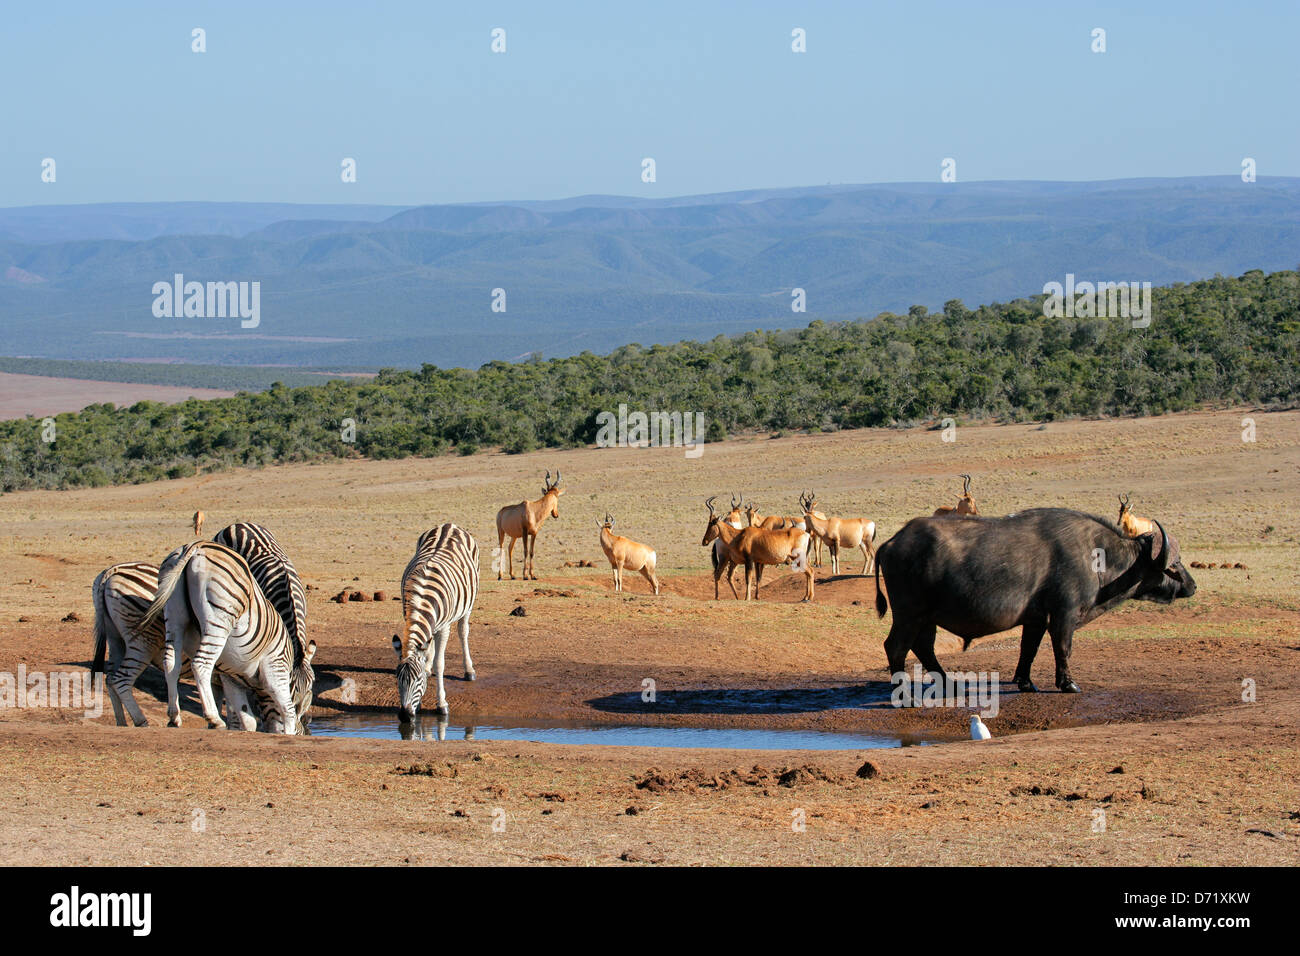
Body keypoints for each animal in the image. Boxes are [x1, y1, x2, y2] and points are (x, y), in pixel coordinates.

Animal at [141, 541, 300, 734]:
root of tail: (196, 545)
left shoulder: (231, 677)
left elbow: (248, 718)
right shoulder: (275, 667)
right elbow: (288, 710)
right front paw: (290, 733)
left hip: (173, 616)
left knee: (171, 662)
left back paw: (174, 716)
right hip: (218, 620)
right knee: (200, 664)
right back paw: (214, 719)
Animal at [391, 523, 478, 721]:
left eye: (417, 680)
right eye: (397, 679)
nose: (405, 716)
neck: (421, 596)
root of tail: (449, 525)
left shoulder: (444, 627)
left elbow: (440, 663)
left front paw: (442, 704)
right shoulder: (408, 615)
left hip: (467, 605)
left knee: (463, 631)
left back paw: (468, 670)